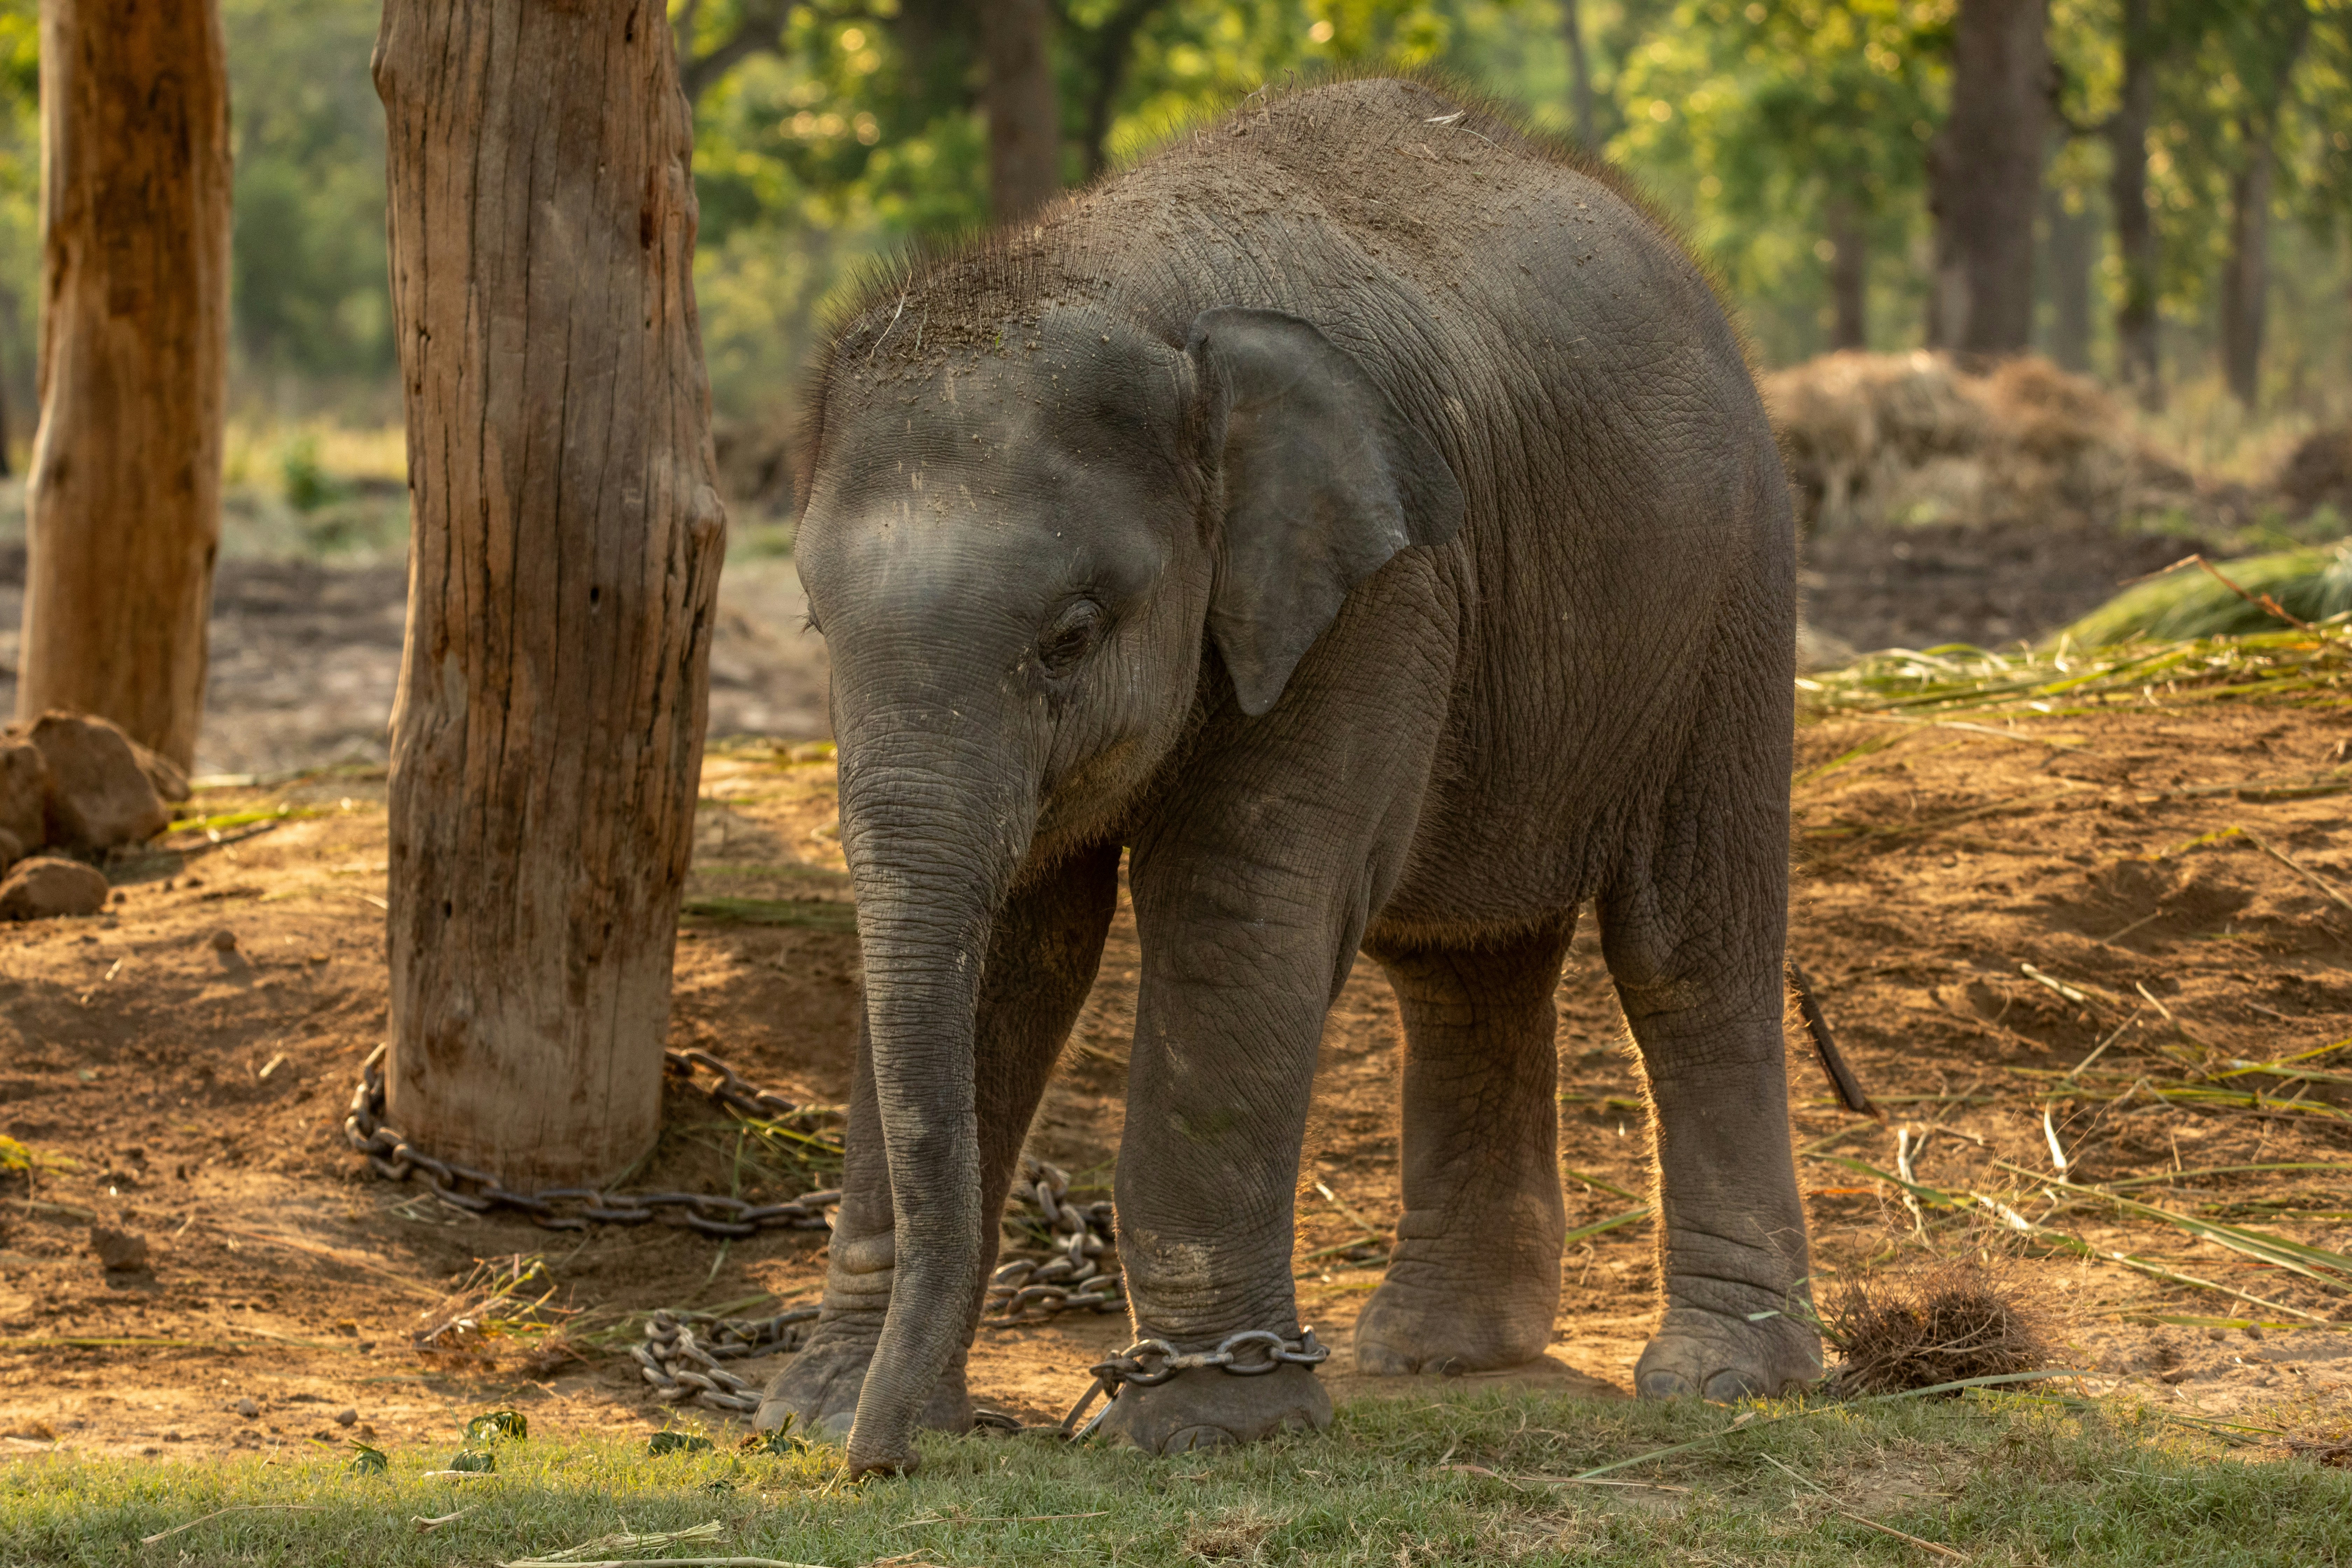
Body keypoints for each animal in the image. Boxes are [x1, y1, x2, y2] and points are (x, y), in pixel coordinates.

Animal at [757, 75, 1817, 1477]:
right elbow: (1006, 947)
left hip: (1726, 594)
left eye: (1070, 636)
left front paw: (1205, 1429)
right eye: (814, 626)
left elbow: (1233, 901)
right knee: (1459, 965)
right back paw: (1436, 1349)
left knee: (1685, 950)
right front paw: (813, 1410)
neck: (1117, 281)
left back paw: (1719, 1378)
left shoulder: (1377, 584)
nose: (888, 1458)